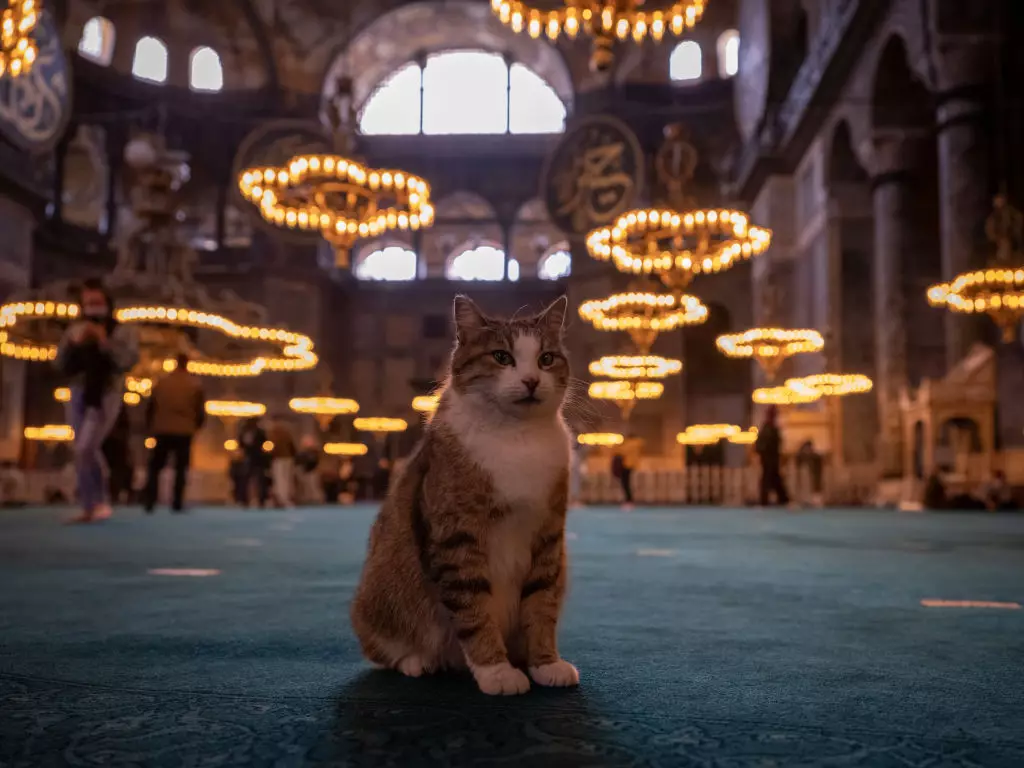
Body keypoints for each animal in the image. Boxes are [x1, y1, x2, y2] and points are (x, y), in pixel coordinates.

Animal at [350, 294, 577, 696]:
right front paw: (496, 671)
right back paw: (417, 661)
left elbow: (542, 603)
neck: (516, 436)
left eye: (547, 359)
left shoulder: (548, 535)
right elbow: (473, 607)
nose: (532, 380)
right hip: (380, 593)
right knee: (381, 649)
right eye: (502, 356)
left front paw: (545, 663)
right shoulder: (456, 533)